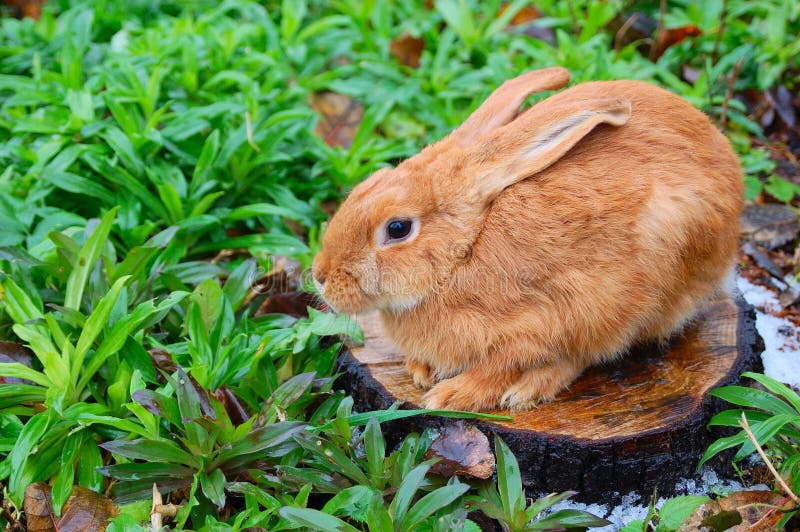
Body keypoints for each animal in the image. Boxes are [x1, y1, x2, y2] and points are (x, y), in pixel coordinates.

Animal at [312, 67, 743, 412]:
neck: (464, 253)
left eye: (398, 229)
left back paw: (529, 390)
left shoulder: (542, 324)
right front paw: (420, 372)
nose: (320, 276)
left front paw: (452, 396)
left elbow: (503, 366)